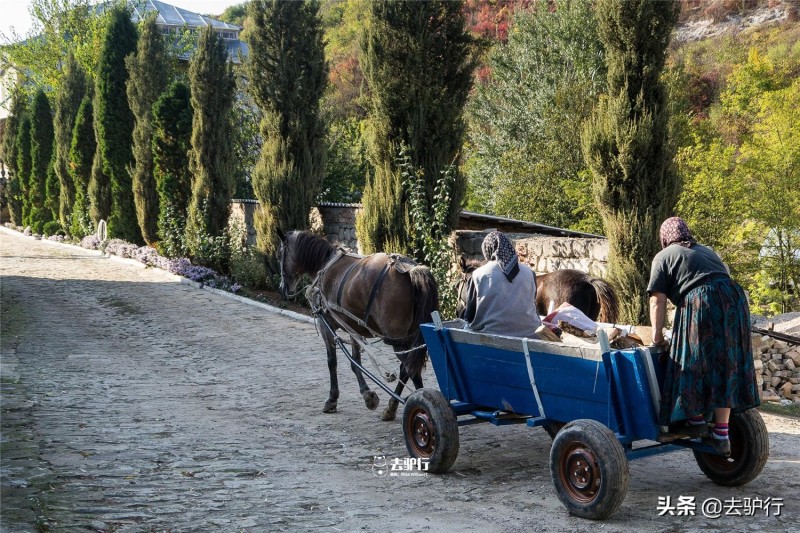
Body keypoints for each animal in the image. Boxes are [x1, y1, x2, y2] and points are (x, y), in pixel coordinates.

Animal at [276, 229, 438, 420]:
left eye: (280, 254)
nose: (283, 288)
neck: (325, 265)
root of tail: (412, 269)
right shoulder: (353, 328)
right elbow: (355, 361)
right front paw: (368, 395)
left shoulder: (326, 325)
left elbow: (332, 362)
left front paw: (332, 399)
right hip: (411, 337)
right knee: (407, 369)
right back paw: (393, 407)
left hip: (398, 339)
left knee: (409, 369)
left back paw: (419, 403)